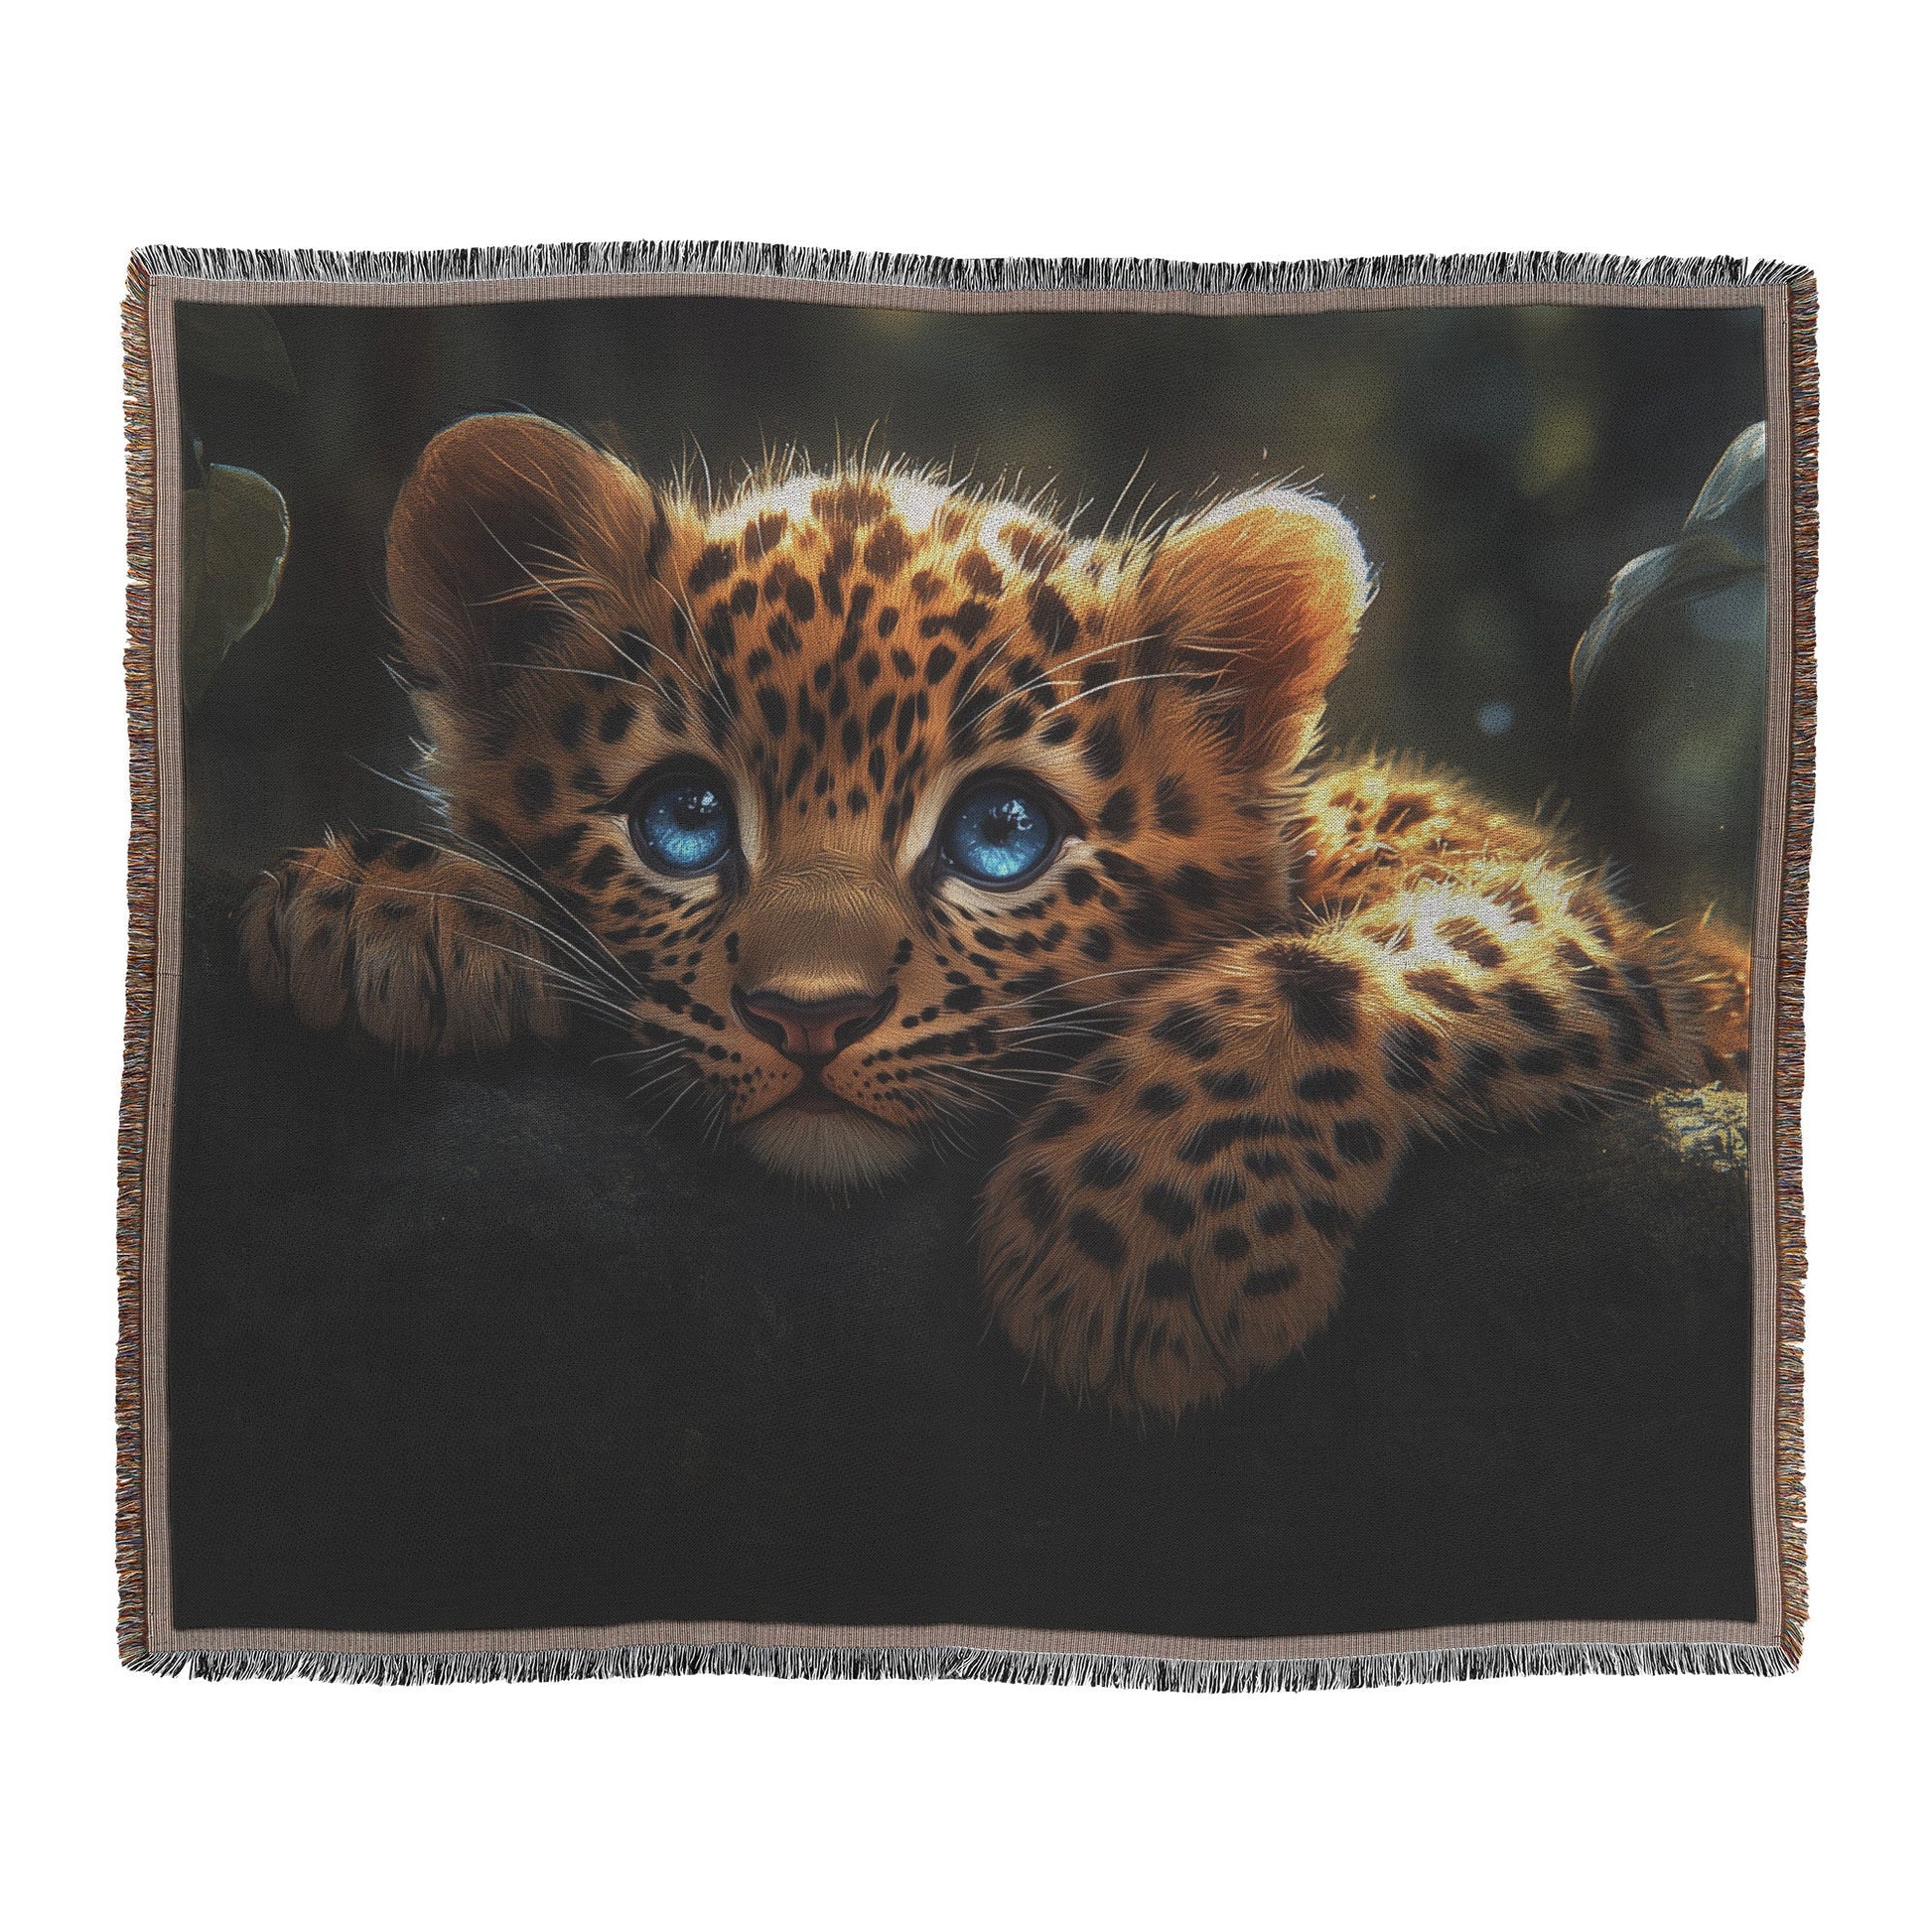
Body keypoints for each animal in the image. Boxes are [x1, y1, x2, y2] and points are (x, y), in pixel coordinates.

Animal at [238, 412, 1752, 1420]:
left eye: (1001, 834)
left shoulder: (1575, 918)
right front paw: (395, 902)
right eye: (682, 816)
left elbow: (1355, 961)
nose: (810, 1018)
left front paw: (1136, 1247)